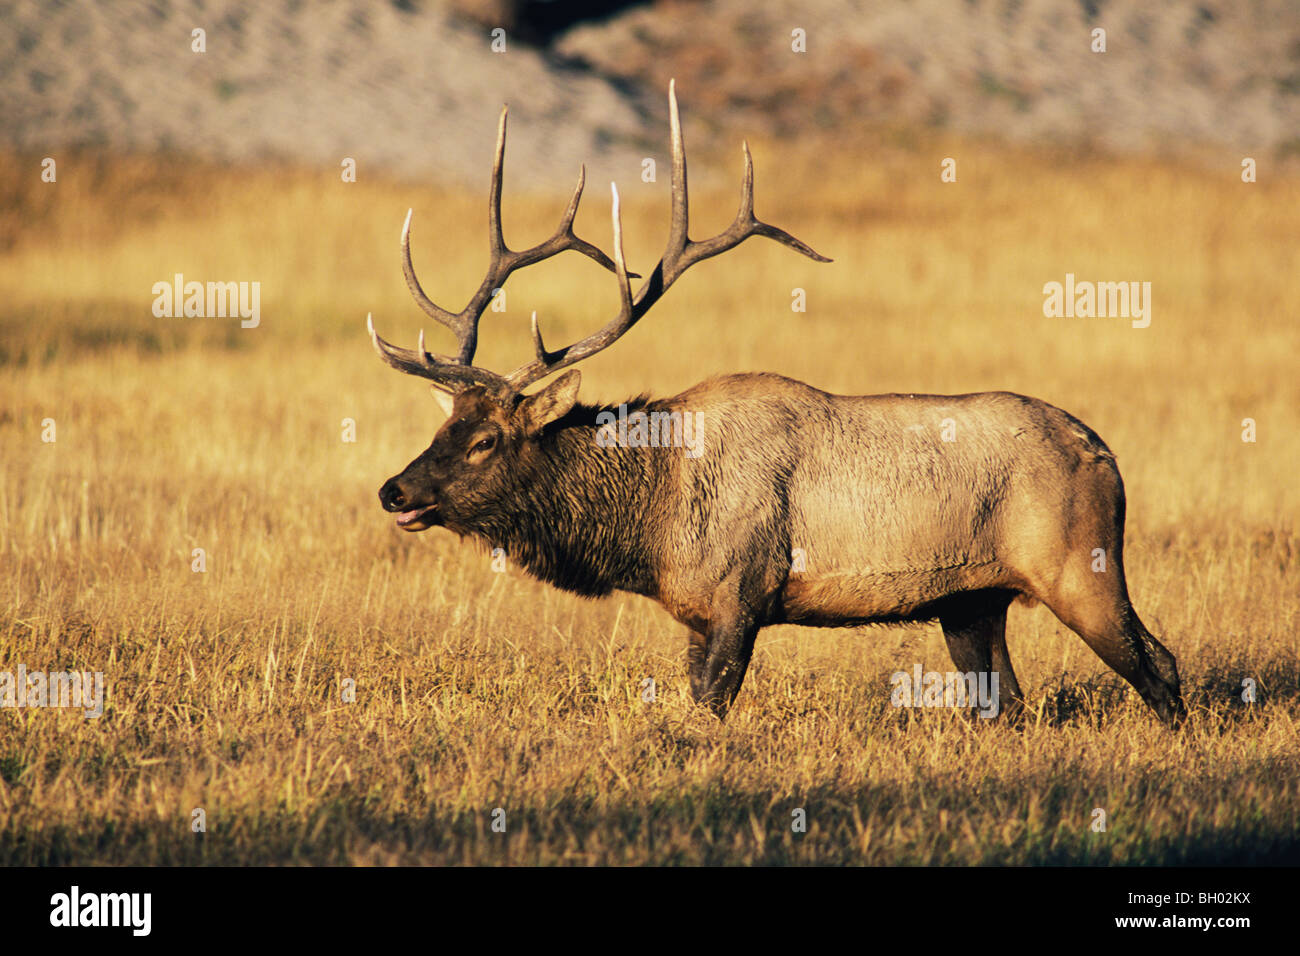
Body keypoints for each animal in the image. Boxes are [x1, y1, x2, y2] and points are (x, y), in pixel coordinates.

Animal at [367, 83, 1187, 727]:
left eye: (487, 440)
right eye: (445, 422)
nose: (393, 490)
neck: (652, 519)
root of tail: (1105, 453)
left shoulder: (742, 592)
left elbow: (713, 706)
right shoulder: (698, 611)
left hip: (1080, 565)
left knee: (1161, 665)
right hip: (971, 600)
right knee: (1009, 702)